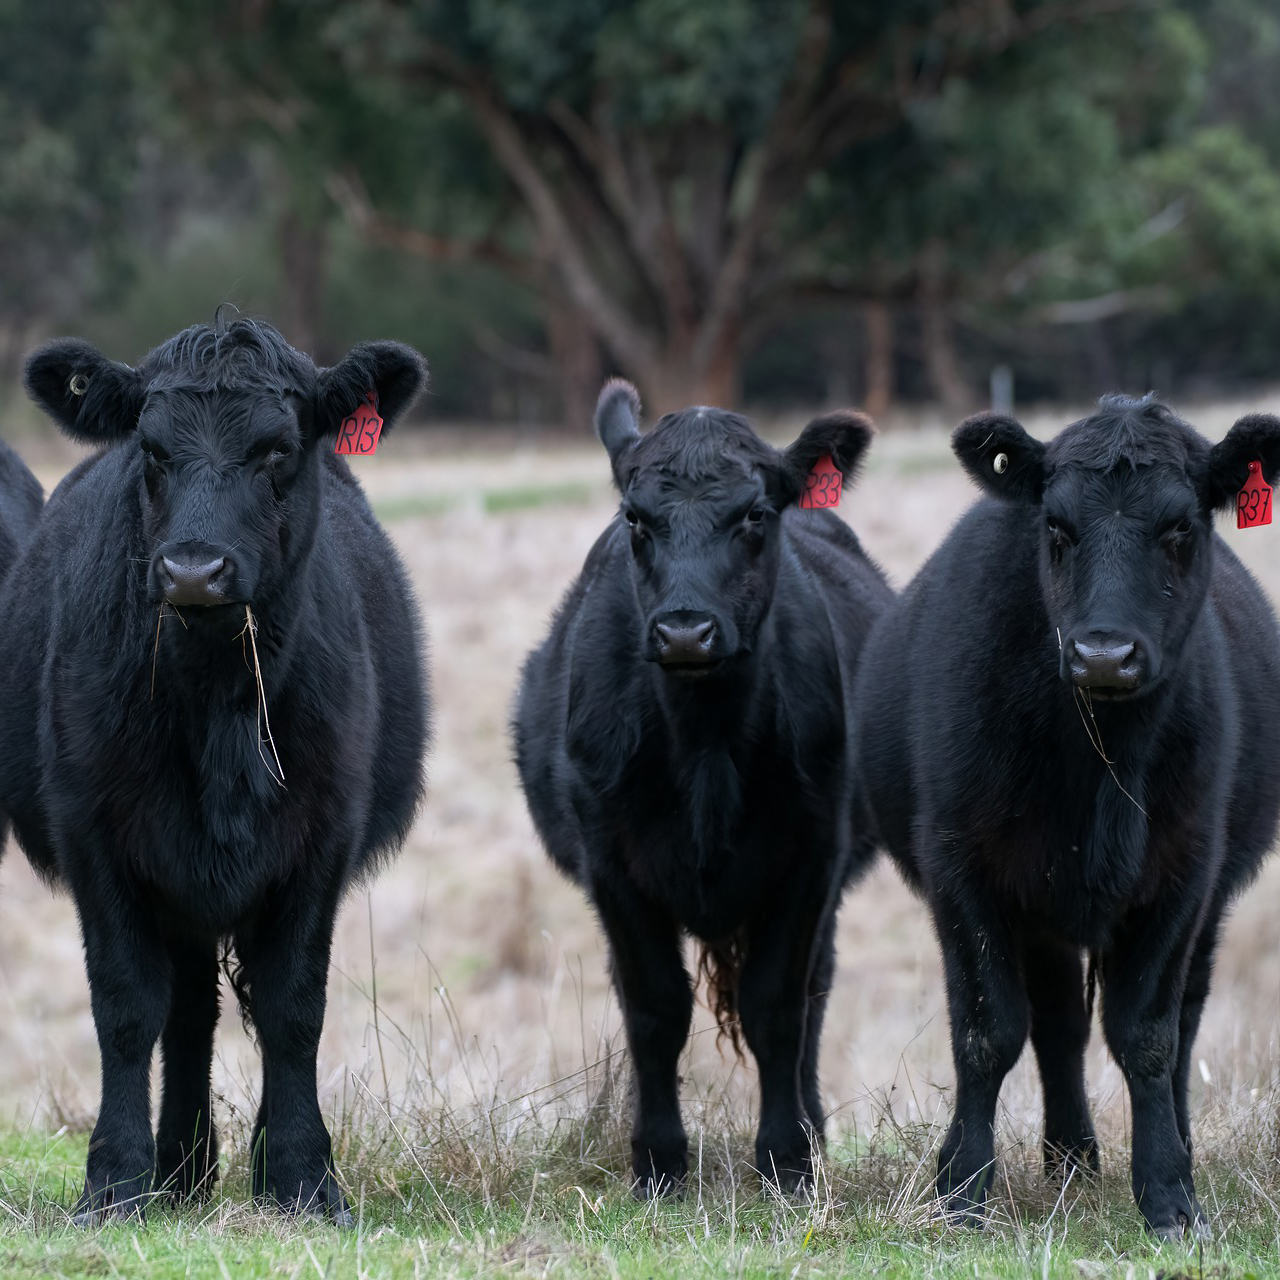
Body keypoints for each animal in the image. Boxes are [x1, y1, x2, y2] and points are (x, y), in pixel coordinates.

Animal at [4, 316, 430, 1225]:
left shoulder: (322, 838)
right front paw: (115, 1181)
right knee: (190, 1012)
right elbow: (128, 1007)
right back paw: (182, 1169)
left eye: (277, 451)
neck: (216, 700)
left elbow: (294, 1007)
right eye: (153, 452)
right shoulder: (97, 836)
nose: (193, 570)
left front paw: (304, 1177)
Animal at [513, 380, 893, 1196]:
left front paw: (787, 1160)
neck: (704, 742)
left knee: (814, 993)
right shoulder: (613, 866)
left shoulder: (811, 858)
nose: (685, 632)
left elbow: (778, 1006)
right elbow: (655, 1008)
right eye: (635, 518)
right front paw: (656, 1161)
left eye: (753, 515)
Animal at [854, 394, 1280, 1238]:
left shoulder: (1184, 876)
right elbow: (988, 1033)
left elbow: (1148, 1037)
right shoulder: (964, 871)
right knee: (1056, 1026)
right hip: (1040, 911)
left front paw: (1169, 1193)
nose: (1104, 654)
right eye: (1056, 527)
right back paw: (1071, 1159)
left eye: (1180, 527)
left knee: (1177, 1023)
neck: (1100, 761)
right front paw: (961, 1190)